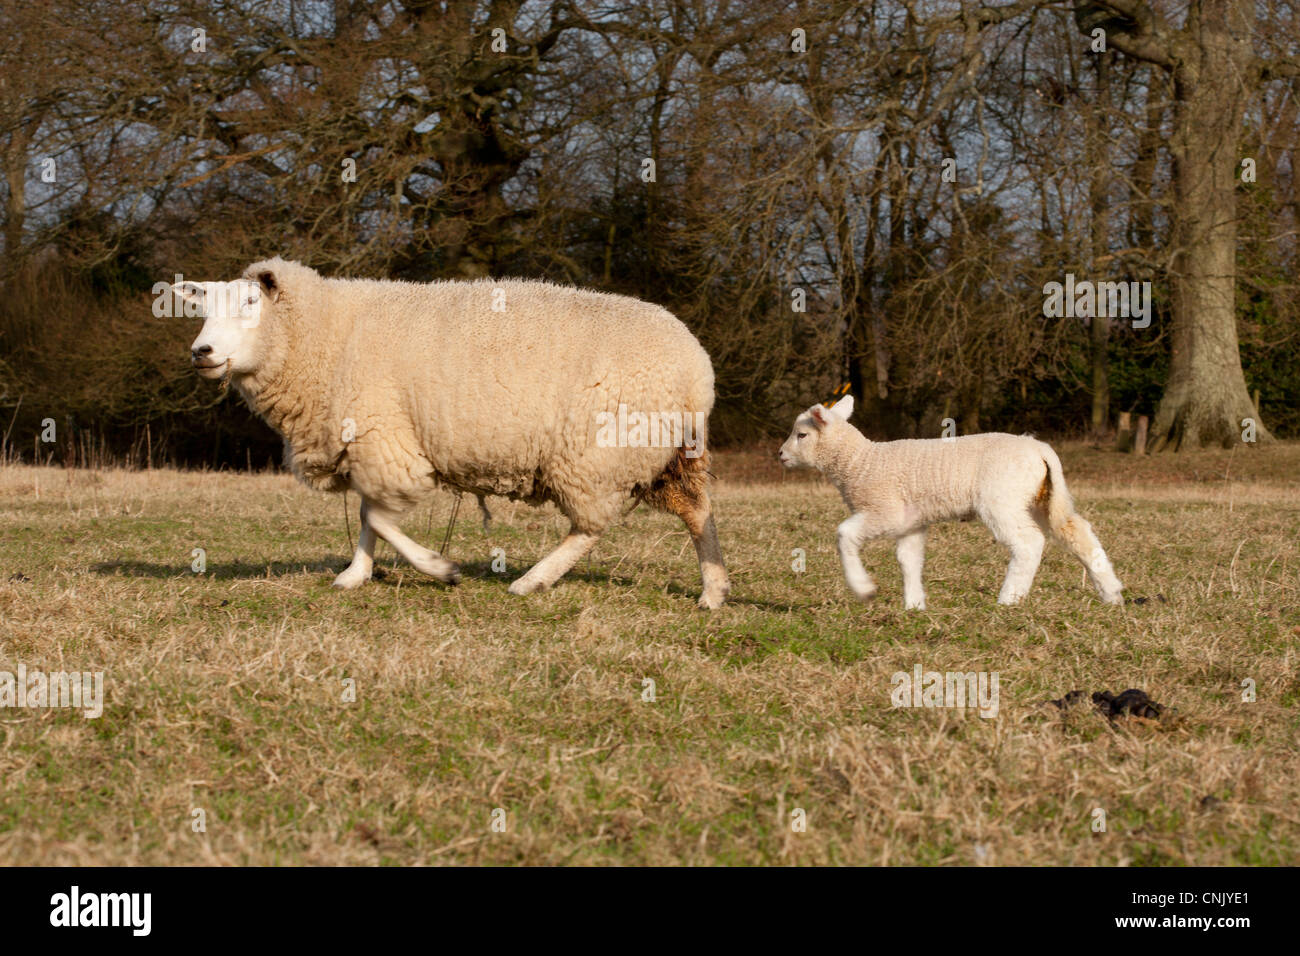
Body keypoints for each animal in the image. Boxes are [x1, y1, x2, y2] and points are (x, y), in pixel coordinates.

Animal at [173, 258, 730, 608]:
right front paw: (355, 575)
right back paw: (713, 591)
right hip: (668, 455)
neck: (325, 336)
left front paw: (438, 568)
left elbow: (378, 516)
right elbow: (368, 515)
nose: (201, 352)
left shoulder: (386, 439)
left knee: (591, 527)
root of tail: (698, 367)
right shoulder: (374, 444)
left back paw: (531, 582)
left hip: (594, 456)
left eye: (251, 303)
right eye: (203, 308)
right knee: (697, 513)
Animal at [778, 394, 1123, 608]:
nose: (780, 455)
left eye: (802, 435)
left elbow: (845, 534)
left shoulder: (885, 511)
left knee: (1029, 542)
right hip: (1040, 497)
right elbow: (909, 559)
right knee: (1075, 531)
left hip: (1002, 499)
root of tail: (1041, 450)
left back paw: (1009, 598)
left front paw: (864, 589)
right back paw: (1112, 594)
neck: (859, 462)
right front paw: (915, 605)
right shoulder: (911, 522)